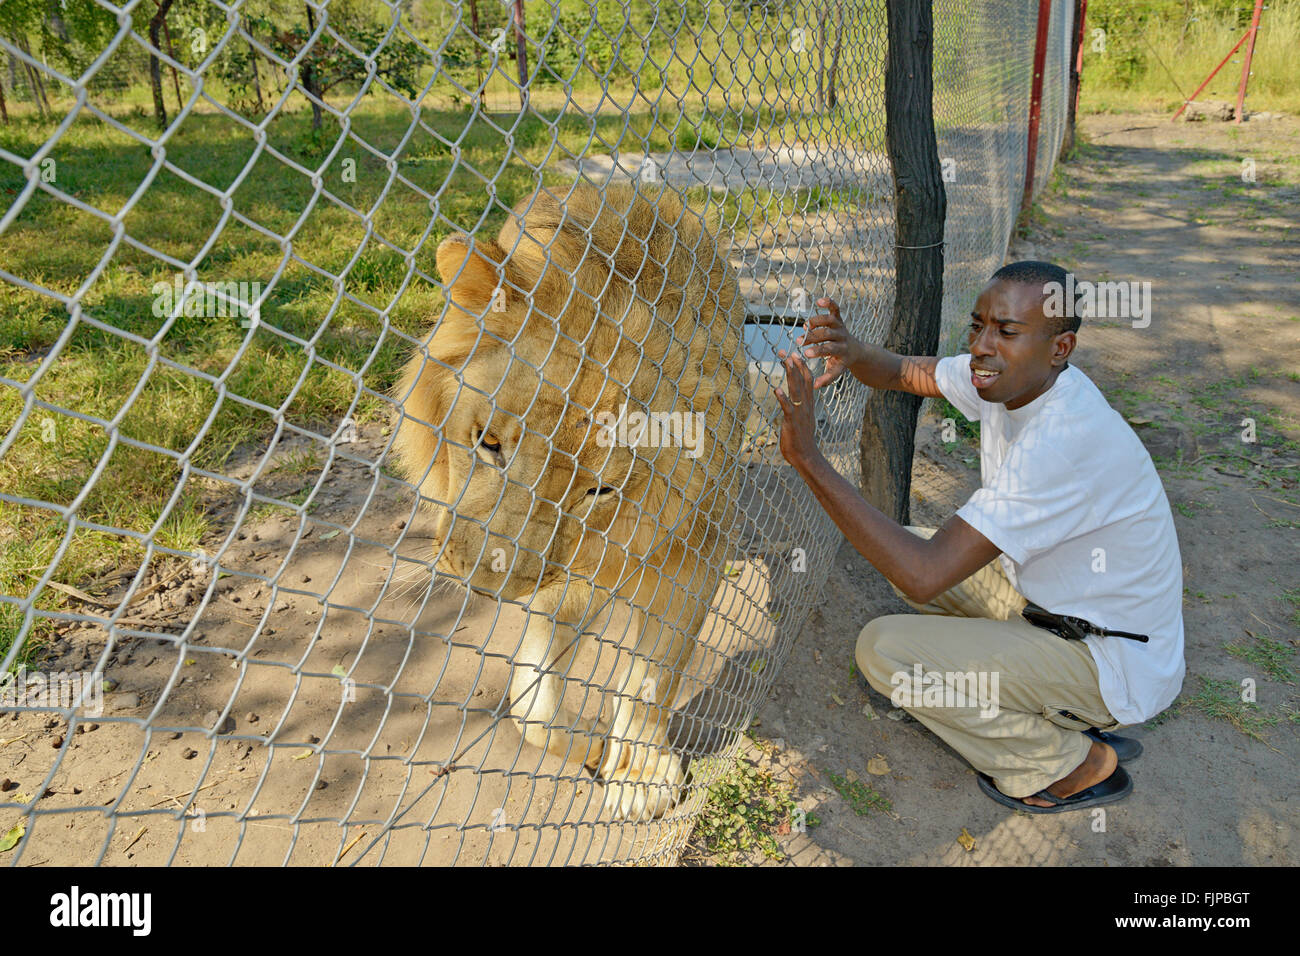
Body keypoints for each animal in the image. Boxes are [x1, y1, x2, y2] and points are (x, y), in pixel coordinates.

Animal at [389, 182, 751, 820]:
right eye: (488, 443)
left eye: (597, 491)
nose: (486, 583)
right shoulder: (567, 571)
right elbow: (532, 705)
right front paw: (594, 746)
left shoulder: (690, 550)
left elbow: (654, 676)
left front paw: (641, 775)